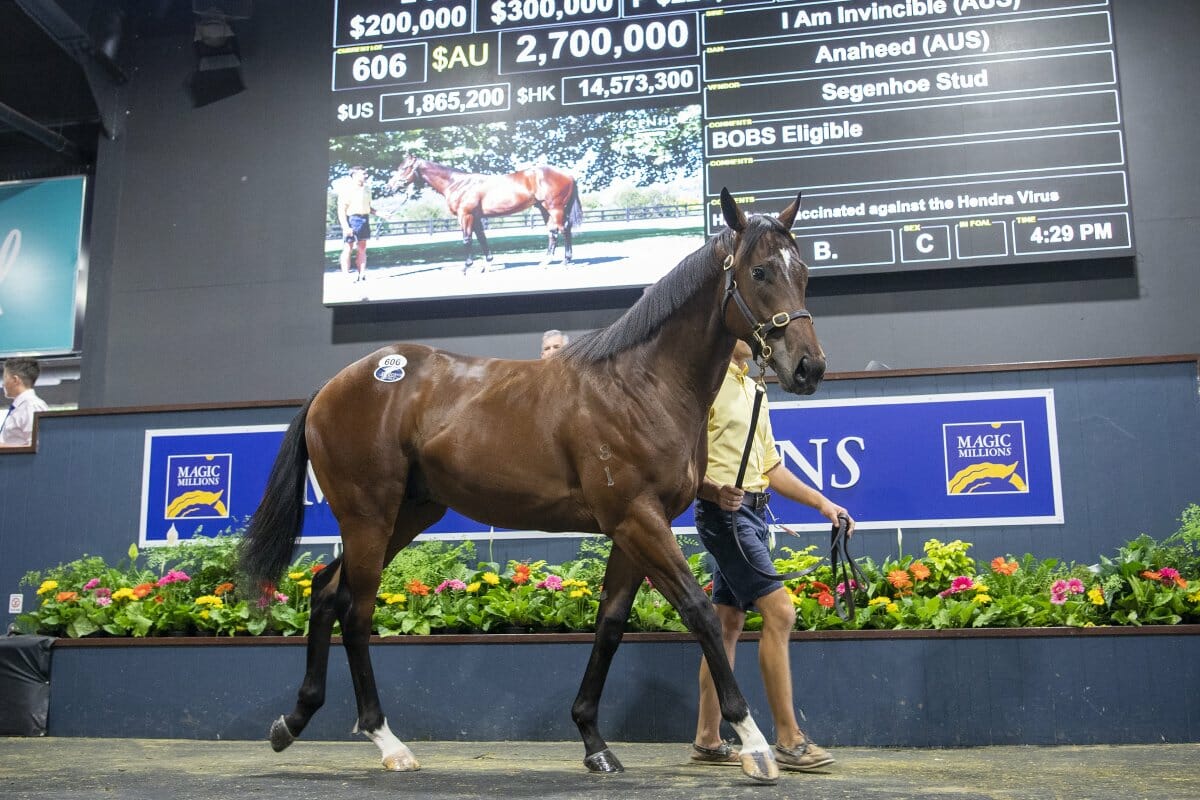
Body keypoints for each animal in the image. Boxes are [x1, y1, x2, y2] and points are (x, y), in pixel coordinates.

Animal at [238, 189, 827, 784]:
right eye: (759, 271)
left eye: (803, 273)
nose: (809, 368)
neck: (642, 386)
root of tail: (335, 385)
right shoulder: (638, 519)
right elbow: (698, 611)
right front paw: (754, 743)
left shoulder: (633, 529)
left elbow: (610, 625)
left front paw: (594, 741)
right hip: (368, 516)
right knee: (355, 611)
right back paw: (388, 743)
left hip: (407, 515)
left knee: (325, 590)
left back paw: (293, 722)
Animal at [386, 155, 583, 272]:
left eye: (404, 168)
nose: (390, 186)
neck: (458, 184)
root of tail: (569, 175)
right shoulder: (476, 217)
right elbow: (482, 238)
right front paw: (487, 263)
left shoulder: (465, 215)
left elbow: (467, 239)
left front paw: (466, 267)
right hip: (544, 208)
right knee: (555, 231)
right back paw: (550, 261)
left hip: (554, 208)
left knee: (562, 229)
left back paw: (564, 261)